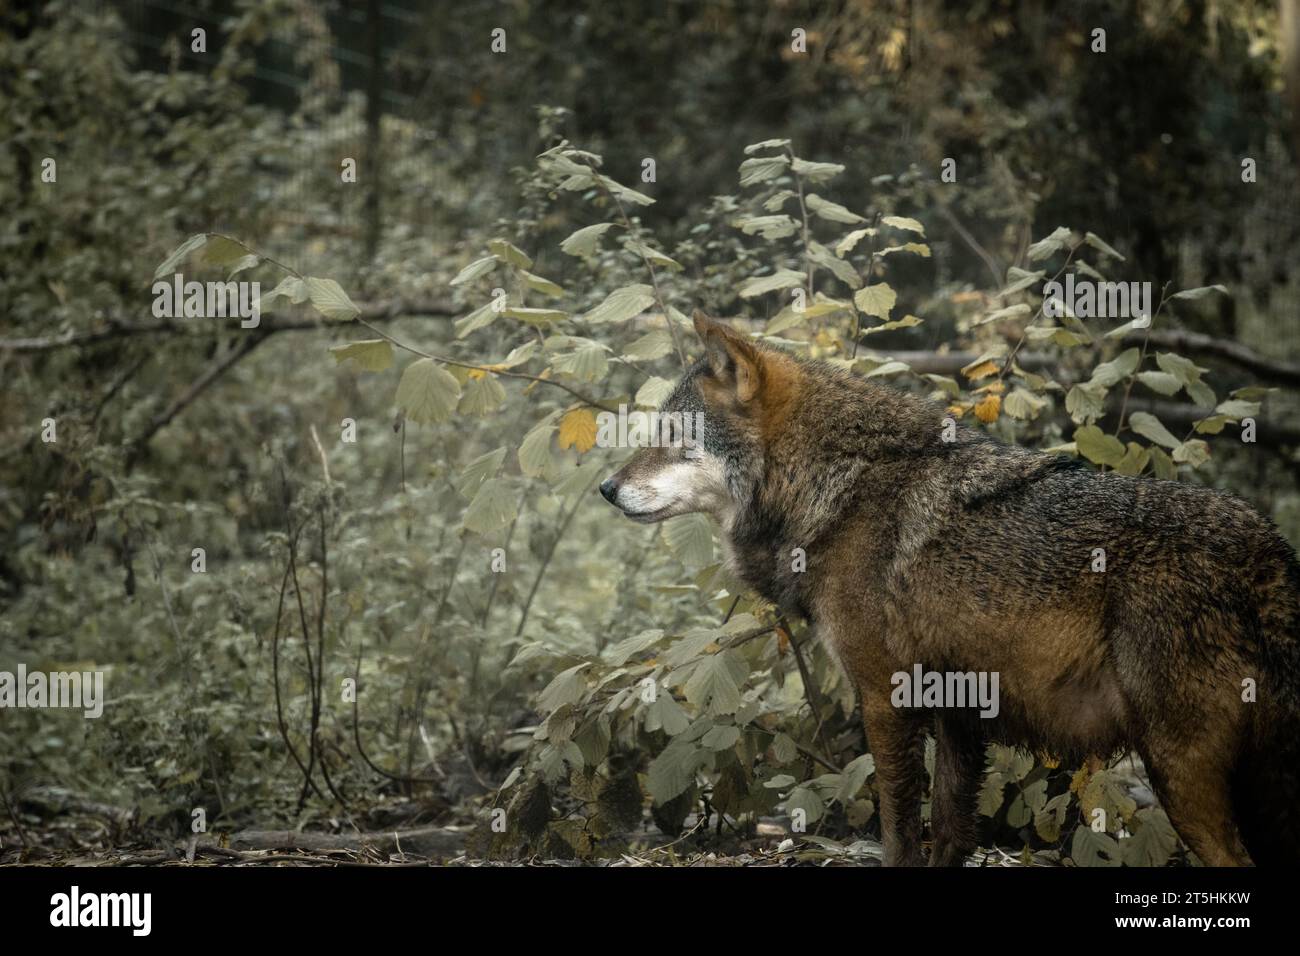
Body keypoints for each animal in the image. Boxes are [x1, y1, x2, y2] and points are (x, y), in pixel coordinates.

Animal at [599, 311, 1300, 866]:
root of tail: (1267, 550)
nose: (606, 489)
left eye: (671, 439)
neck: (833, 487)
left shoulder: (887, 696)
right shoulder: (962, 708)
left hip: (1180, 773)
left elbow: (900, 834)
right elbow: (950, 834)